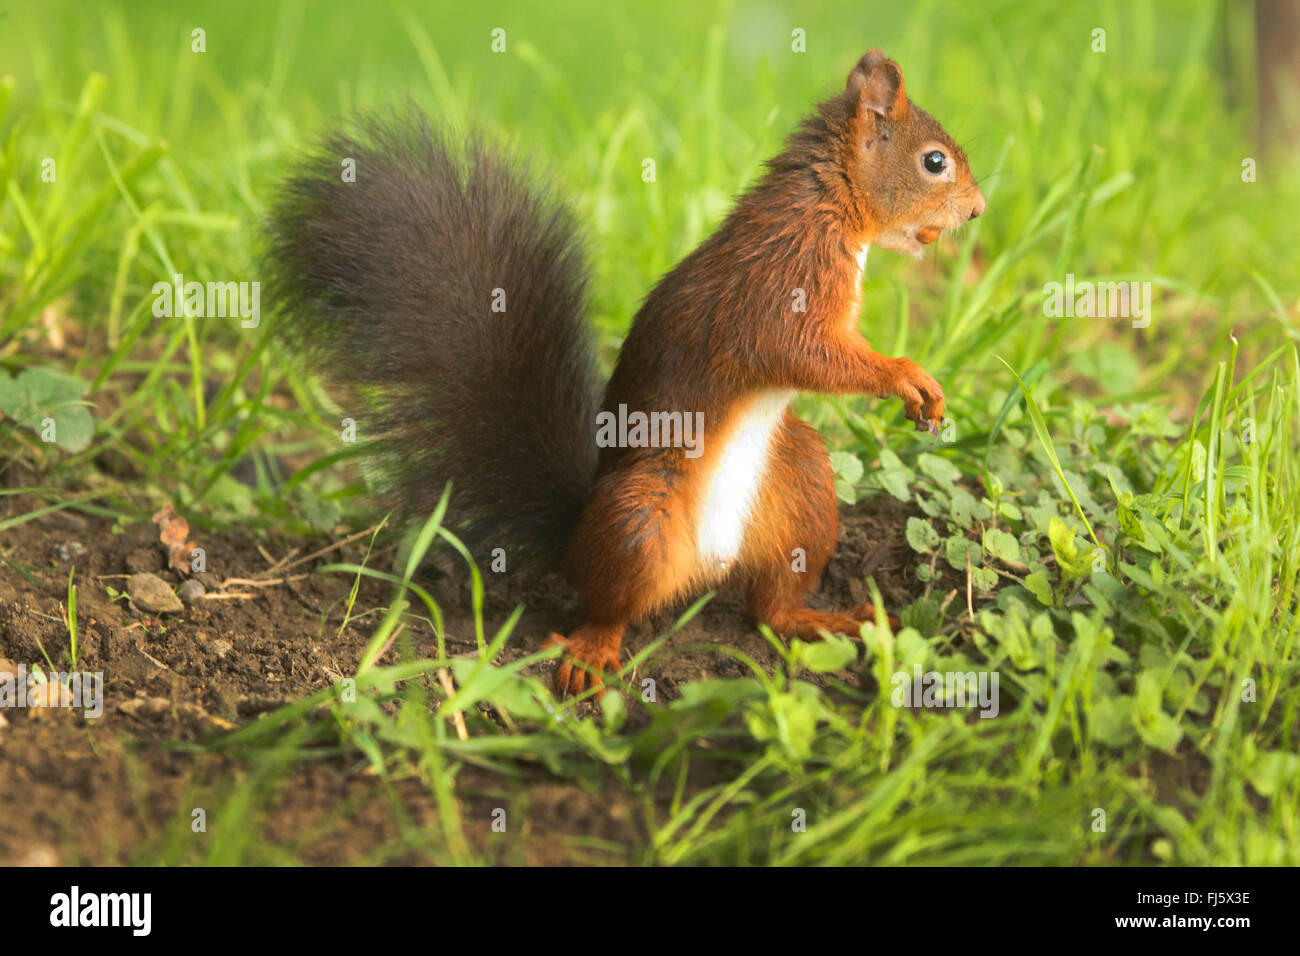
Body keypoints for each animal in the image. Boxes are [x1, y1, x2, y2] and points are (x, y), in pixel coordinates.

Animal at [265, 49, 986, 698]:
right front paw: (905, 375)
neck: (829, 205)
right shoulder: (782, 286)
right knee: (609, 605)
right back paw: (591, 652)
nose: (978, 210)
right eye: (935, 162)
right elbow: (805, 352)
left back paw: (822, 618)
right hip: (641, 515)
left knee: (768, 609)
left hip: (801, 486)